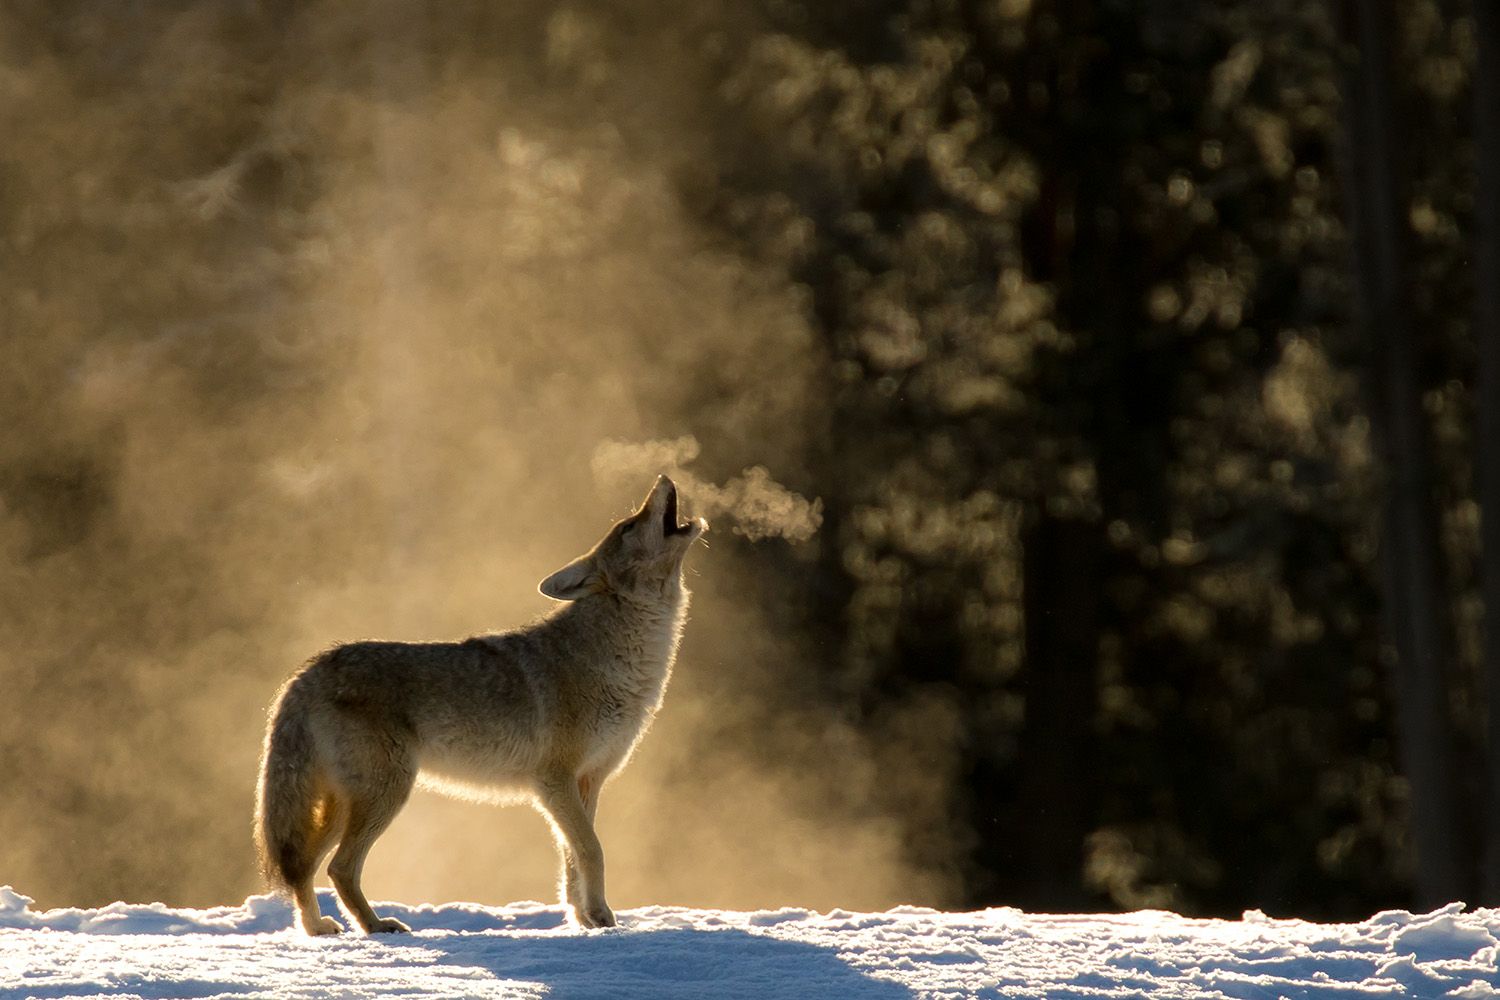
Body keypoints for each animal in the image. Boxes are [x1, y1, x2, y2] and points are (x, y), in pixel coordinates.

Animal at [254, 476, 706, 935]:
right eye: (629, 526)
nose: (664, 479)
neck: (616, 658)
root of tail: (305, 673)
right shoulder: (554, 782)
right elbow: (592, 850)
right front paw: (600, 918)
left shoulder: (587, 782)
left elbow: (572, 860)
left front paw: (582, 919)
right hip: (387, 794)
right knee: (338, 868)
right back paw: (377, 926)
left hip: (345, 805)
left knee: (305, 866)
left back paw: (318, 928)